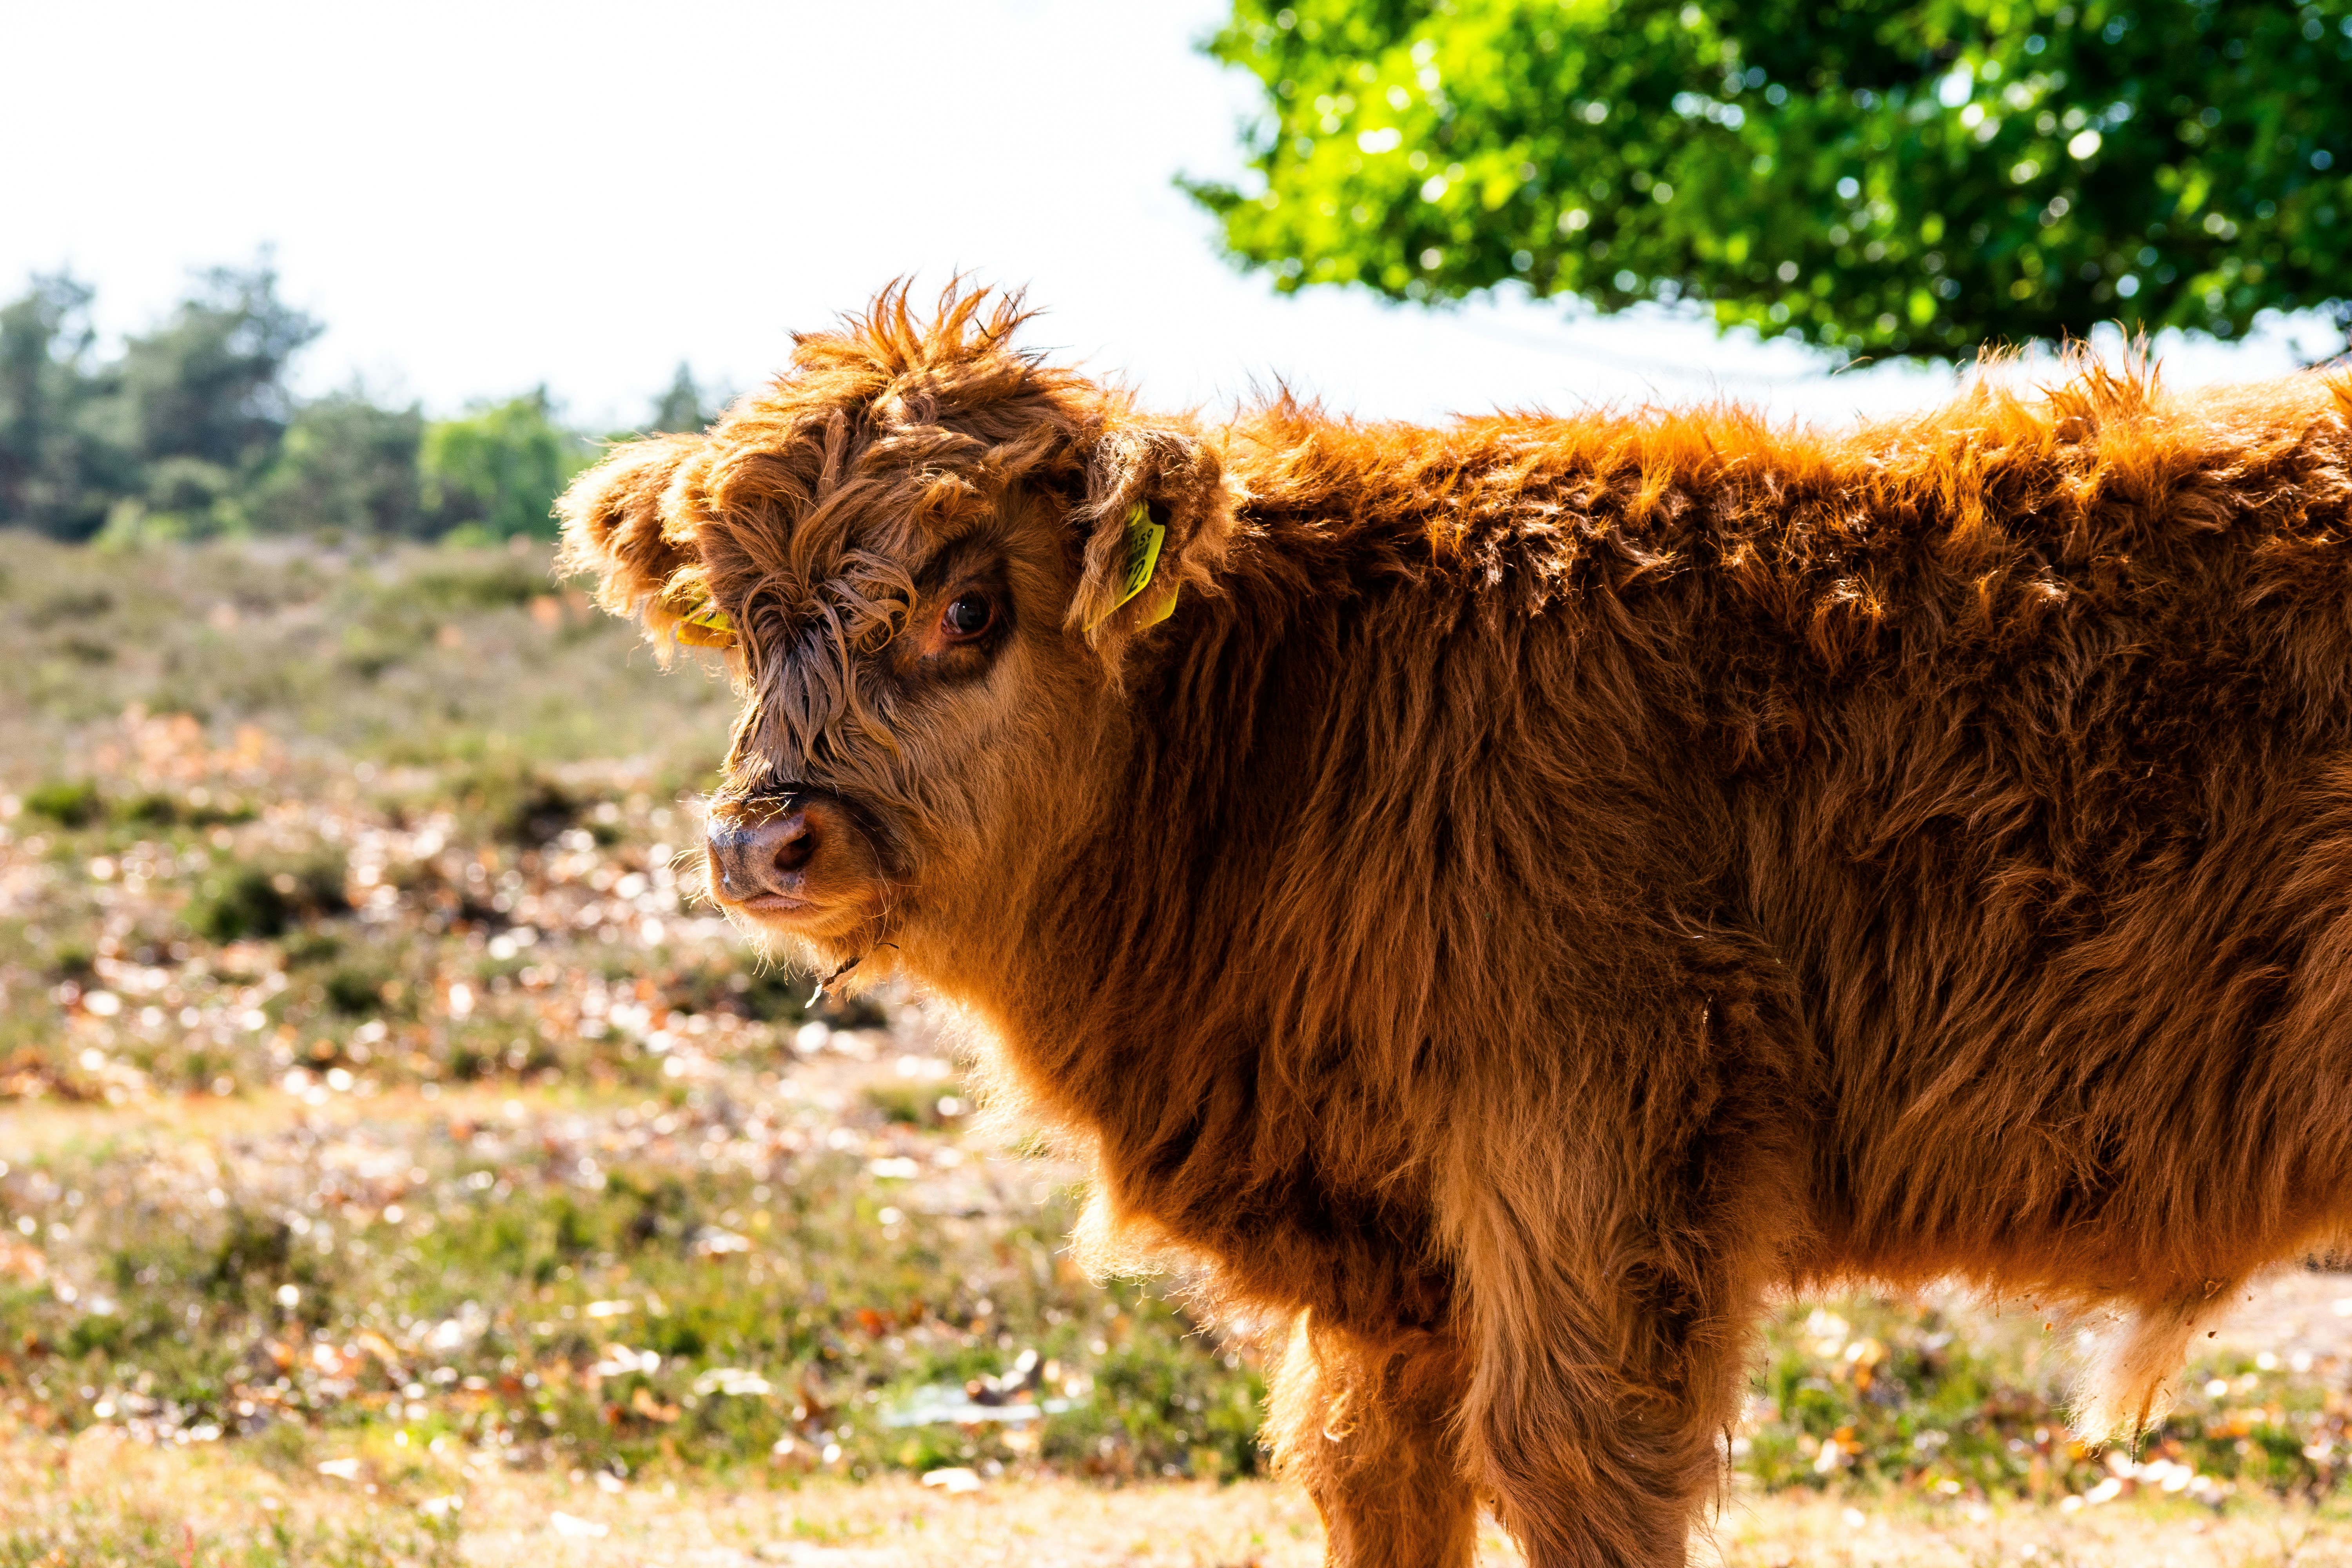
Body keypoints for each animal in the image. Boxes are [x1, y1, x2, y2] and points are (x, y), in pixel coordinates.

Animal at [557, 285, 2352, 1566]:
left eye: (968, 604)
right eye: (746, 622)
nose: (765, 839)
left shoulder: (1598, 1135)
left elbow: (1576, 1464)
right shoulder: (1390, 1258)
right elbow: (1372, 1477)